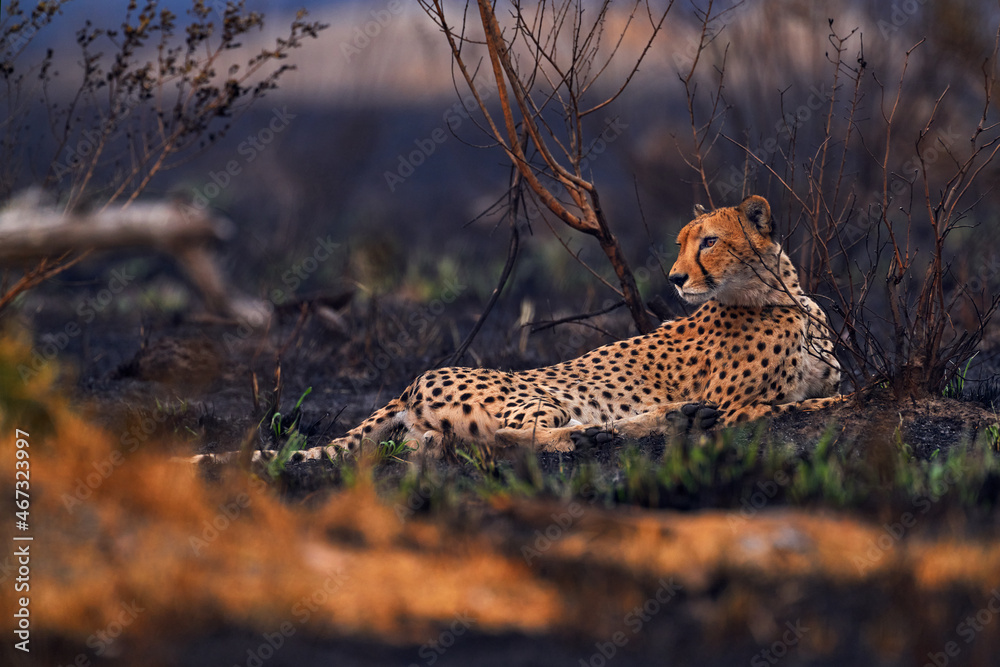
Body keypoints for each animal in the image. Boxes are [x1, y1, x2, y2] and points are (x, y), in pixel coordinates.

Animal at [193, 195, 842, 465]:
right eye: (683, 242)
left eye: (708, 240)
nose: (676, 277)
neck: (782, 295)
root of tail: (411, 383)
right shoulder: (738, 404)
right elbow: (795, 406)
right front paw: (831, 406)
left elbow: (813, 396)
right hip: (536, 395)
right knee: (504, 438)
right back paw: (607, 435)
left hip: (448, 429)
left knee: (454, 446)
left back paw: (662, 422)